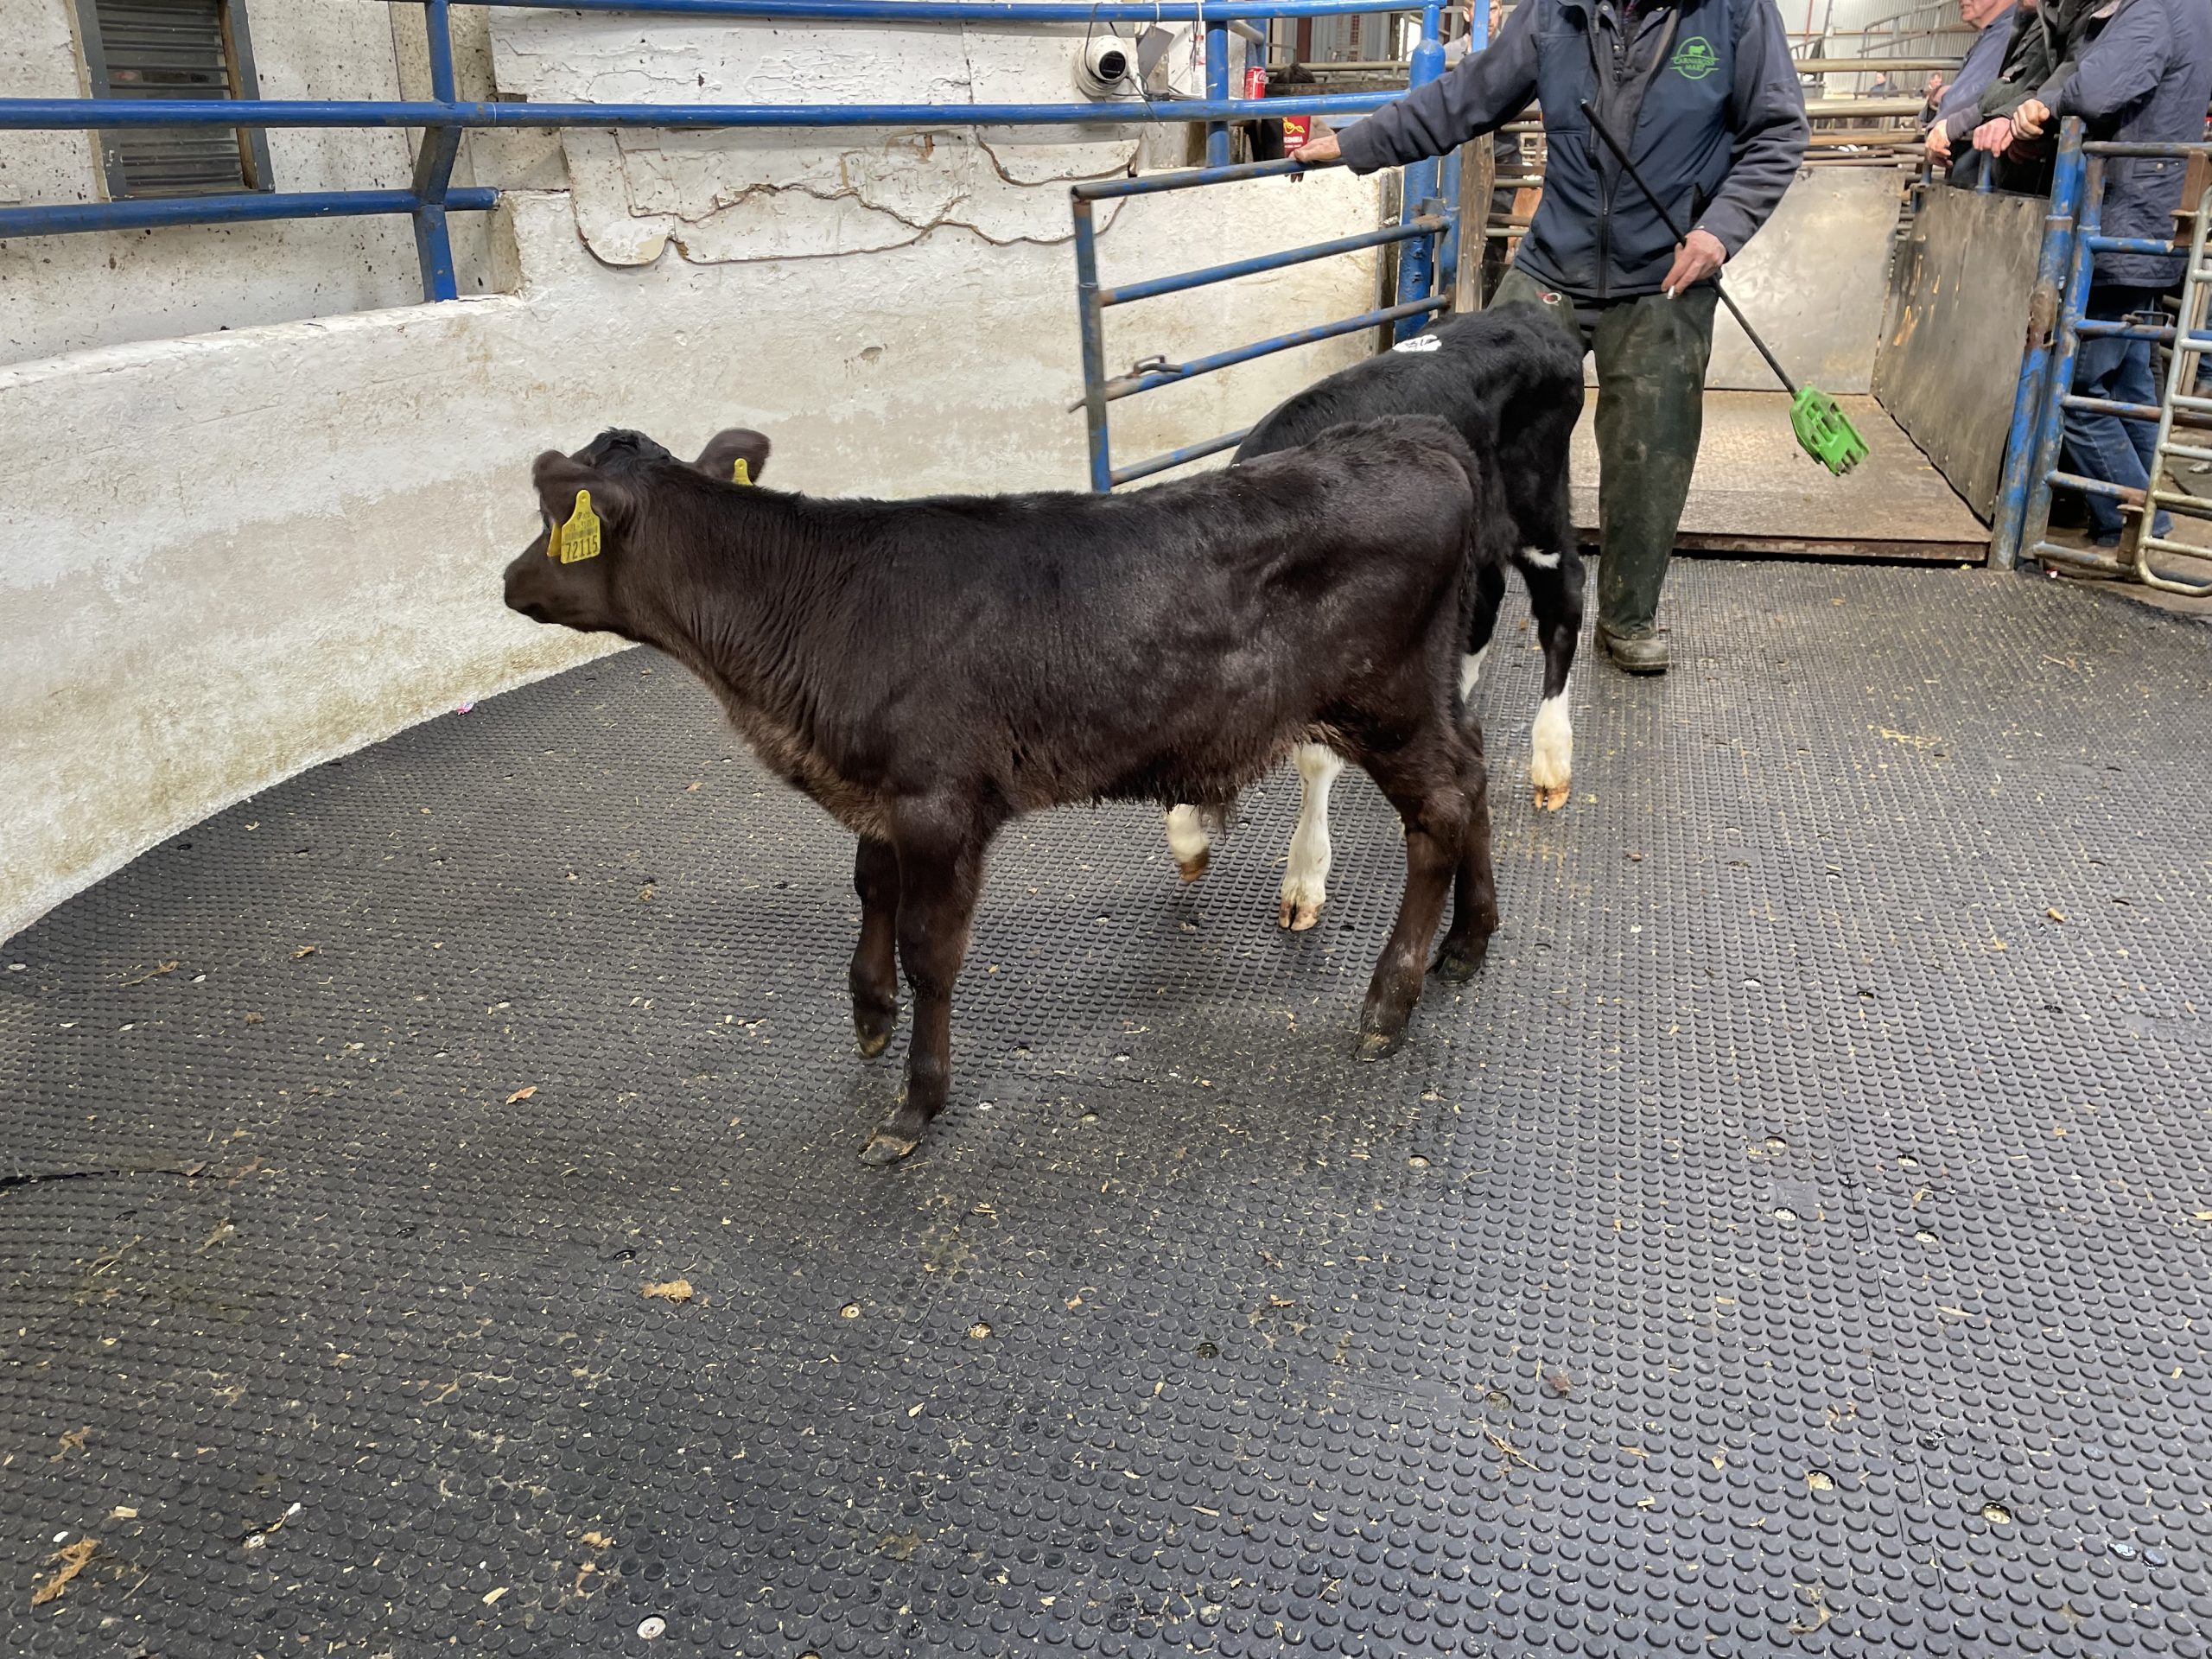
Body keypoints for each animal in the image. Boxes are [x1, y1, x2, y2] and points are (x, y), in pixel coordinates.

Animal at [502, 418, 1500, 1165]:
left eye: (553, 518)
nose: (509, 580)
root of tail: (1418, 440)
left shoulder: (940, 802)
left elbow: (930, 949)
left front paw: (914, 1105)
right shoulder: (884, 791)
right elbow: (870, 888)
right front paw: (869, 1014)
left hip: (1385, 702)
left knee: (1441, 810)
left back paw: (1389, 1002)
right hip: (1426, 693)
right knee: (1477, 768)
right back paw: (1468, 944)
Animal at [1162, 302, 1586, 931]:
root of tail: (1531, 311)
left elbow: (1315, 761)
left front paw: (1305, 875)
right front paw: (1188, 835)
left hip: (1538, 507)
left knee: (1564, 600)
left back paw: (1552, 758)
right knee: (1483, 603)